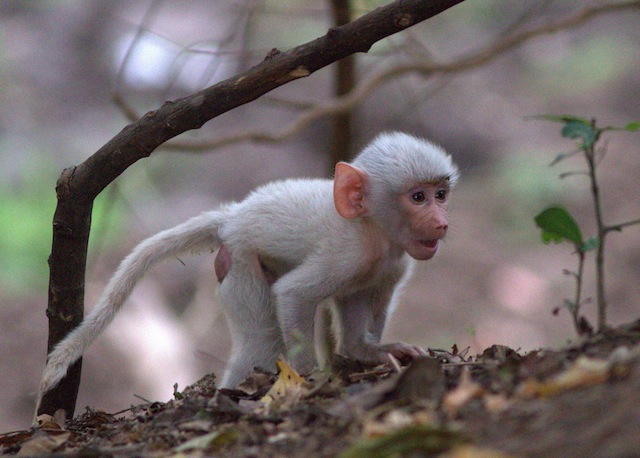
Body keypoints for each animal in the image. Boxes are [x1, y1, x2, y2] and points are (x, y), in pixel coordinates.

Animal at [35, 131, 459, 415]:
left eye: (440, 195)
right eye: (417, 197)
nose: (441, 223)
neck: (372, 229)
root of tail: (231, 217)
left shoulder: (392, 263)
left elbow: (359, 325)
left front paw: (374, 352)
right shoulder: (348, 254)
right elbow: (293, 294)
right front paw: (310, 382)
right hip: (238, 263)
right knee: (263, 338)